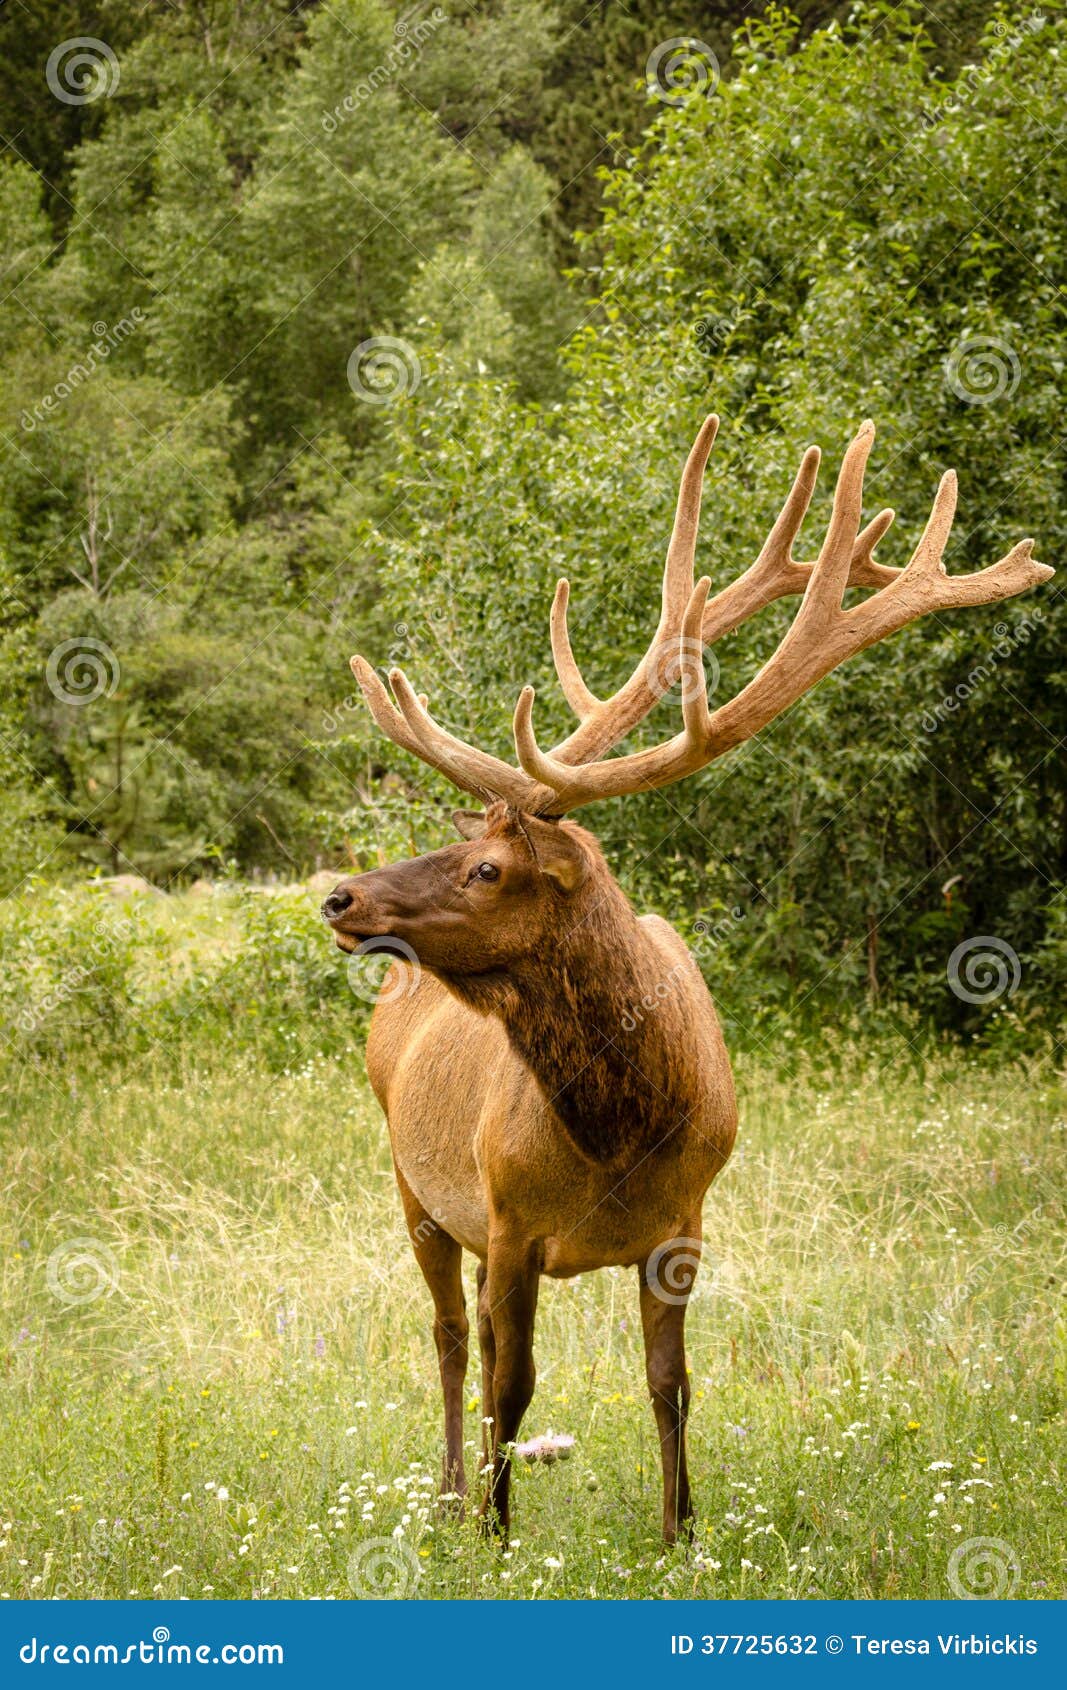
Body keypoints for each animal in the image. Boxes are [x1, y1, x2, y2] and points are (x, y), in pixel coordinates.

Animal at [322, 416, 1051, 1544]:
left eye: (487, 868)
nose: (342, 897)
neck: (622, 1131)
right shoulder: (509, 1222)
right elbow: (512, 1384)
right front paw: (495, 1533)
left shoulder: (683, 1224)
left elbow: (669, 1384)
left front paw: (681, 1533)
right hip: (413, 1186)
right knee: (447, 1338)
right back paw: (447, 1499)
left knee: (462, 1338)